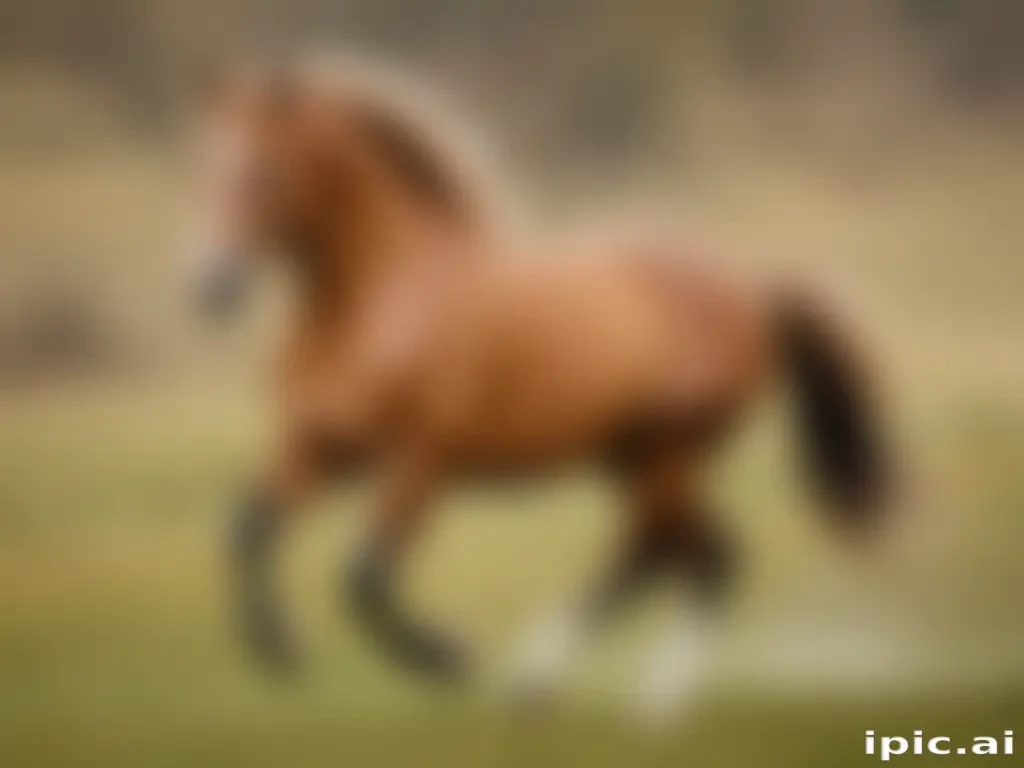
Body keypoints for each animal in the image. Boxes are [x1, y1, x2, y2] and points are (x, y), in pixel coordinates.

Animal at [185, 60, 890, 715]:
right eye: (207, 167)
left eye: (266, 173)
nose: (210, 287)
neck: (378, 306)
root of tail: (751, 293)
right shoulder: (319, 447)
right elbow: (247, 531)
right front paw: (278, 649)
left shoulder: (419, 461)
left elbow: (365, 578)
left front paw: (447, 655)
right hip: (631, 456)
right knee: (686, 554)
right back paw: (577, 689)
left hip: (668, 451)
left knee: (671, 554)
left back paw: (605, 693)